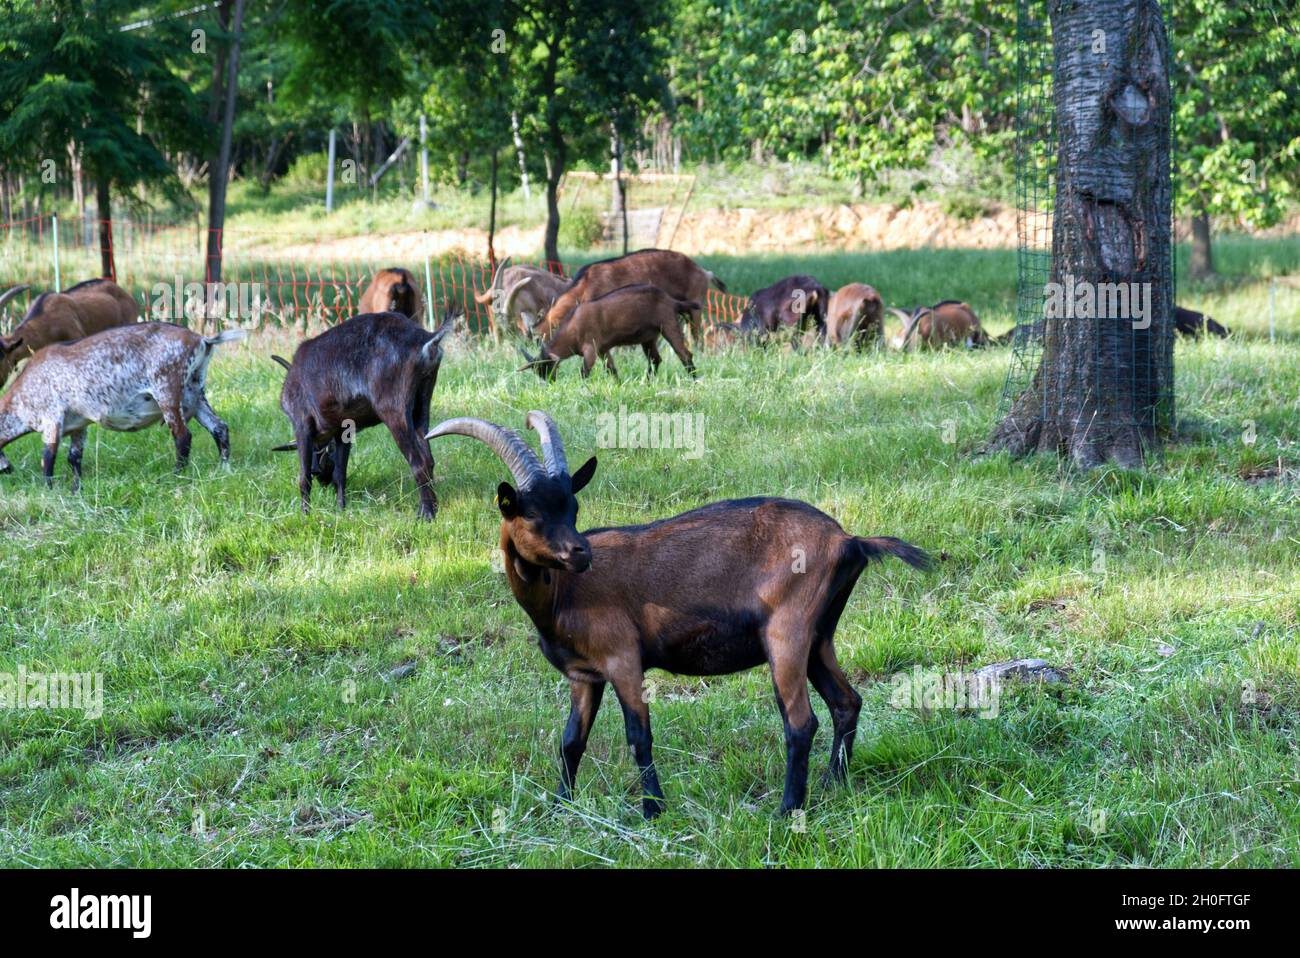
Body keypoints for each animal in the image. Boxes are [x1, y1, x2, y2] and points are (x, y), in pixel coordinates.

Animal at [0, 322, 243, 485]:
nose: (7, 469)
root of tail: (202, 340)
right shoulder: (78, 424)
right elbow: (74, 457)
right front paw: (76, 488)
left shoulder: (52, 417)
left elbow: (48, 458)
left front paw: (49, 490)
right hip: (194, 392)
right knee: (219, 427)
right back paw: (224, 468)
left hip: (167, 389)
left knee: (183, 436)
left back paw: (176, 475)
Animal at [272, 310, 455, 519]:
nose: (322, 478)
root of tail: (426, 338)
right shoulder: (342, 429)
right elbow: (340, 474)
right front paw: (341, 510)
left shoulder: (301, 423)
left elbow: (304, 477)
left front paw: (305, 515)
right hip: (421, 405)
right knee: (429, 459)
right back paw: (431, 508)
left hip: (394, 411)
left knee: (419, 463)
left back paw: (426, 515)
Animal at [427, 412, 930, 817]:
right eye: (531, 513)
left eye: (572, 505)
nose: (580, 552)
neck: (562, 596)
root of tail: (849, 541)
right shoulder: (583, 675)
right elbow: (571, 740)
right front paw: (558, 806)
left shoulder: (623, 658)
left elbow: (638, 734)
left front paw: (653, 810)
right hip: (820, 636)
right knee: (847, 702)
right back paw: (832, 784)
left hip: (787, 633)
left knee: (801, 722)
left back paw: (788, 808)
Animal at [518, 284, 697, 381]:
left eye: (548, 368)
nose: (550, 383)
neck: (572, 327)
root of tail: (671, 301)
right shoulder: (602, 349)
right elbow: (612, 369)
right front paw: (619, 385)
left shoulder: (590, 348)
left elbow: (584, 372)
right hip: (649, 338)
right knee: (655, 359)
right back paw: (647, 382)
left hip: (668, 324)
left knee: (685, 354)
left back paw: (695, 381)